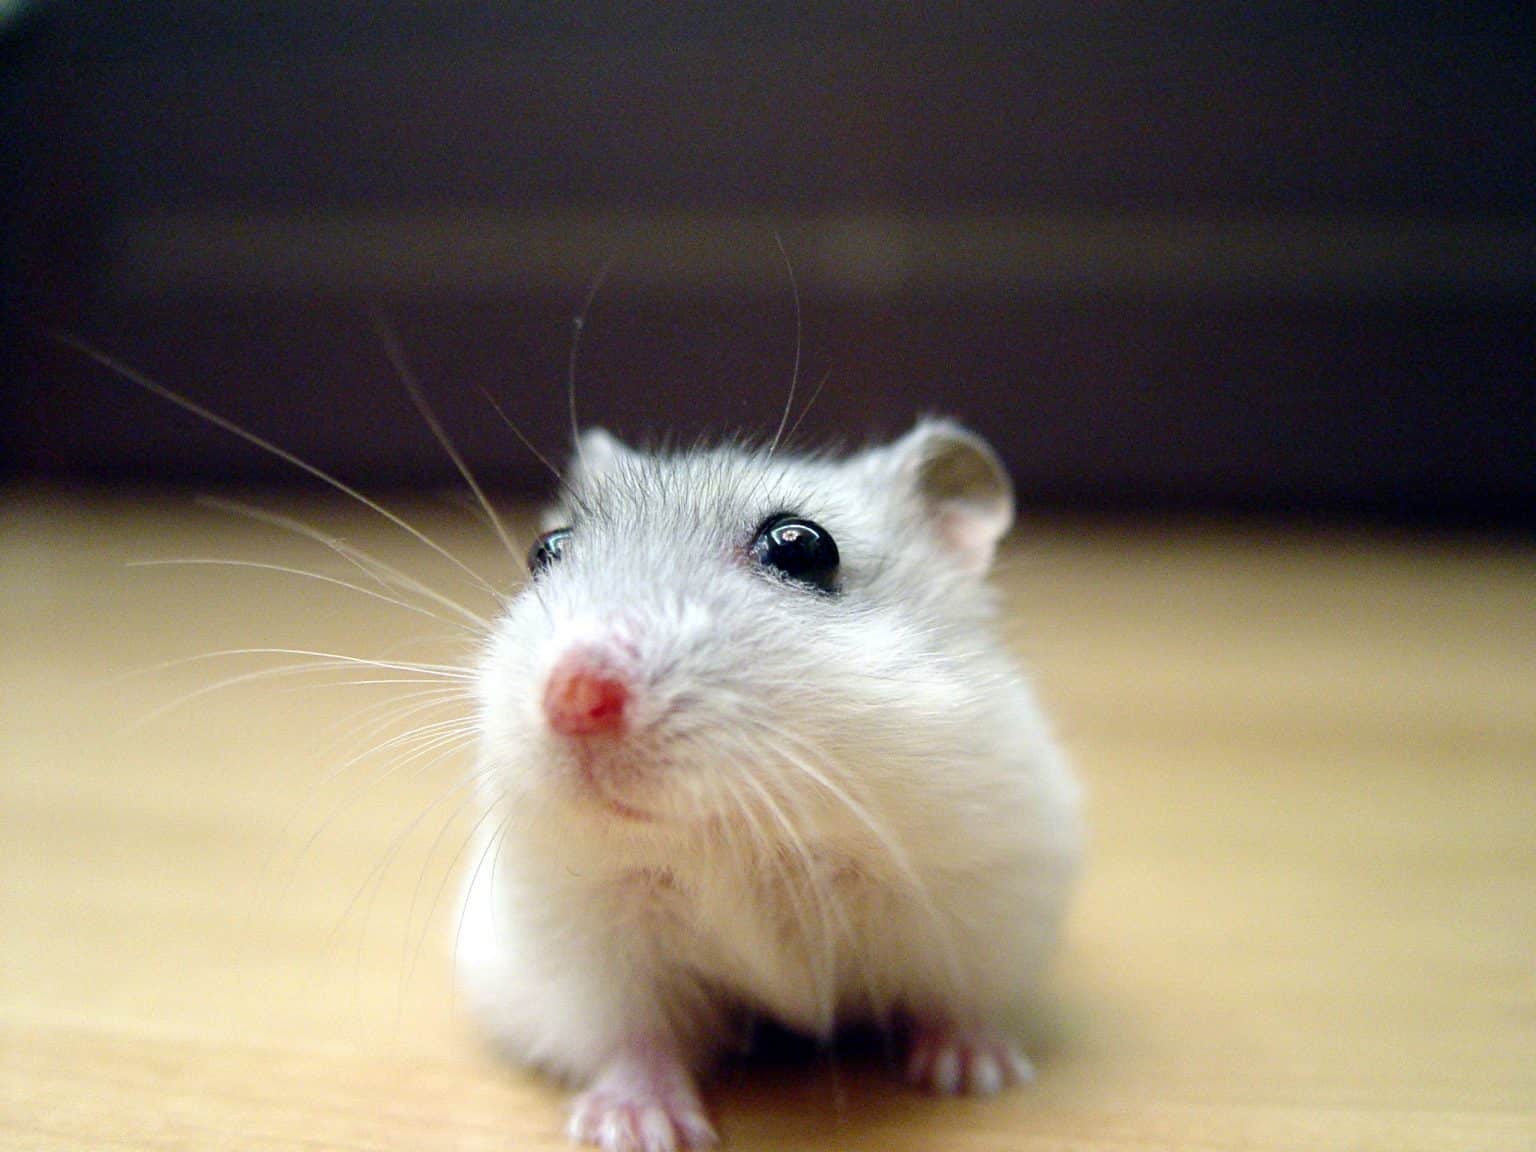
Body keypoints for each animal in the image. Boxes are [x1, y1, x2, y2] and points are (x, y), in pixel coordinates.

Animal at [455, 417, 1083, 1152]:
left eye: (804, 549)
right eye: (546, 551)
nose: (576, 698)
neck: (744, 829)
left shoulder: (979, 897)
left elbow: (953, 999)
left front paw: (977, 1076)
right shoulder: (587, 933)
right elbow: (632, 1034)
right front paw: (638, 1130)